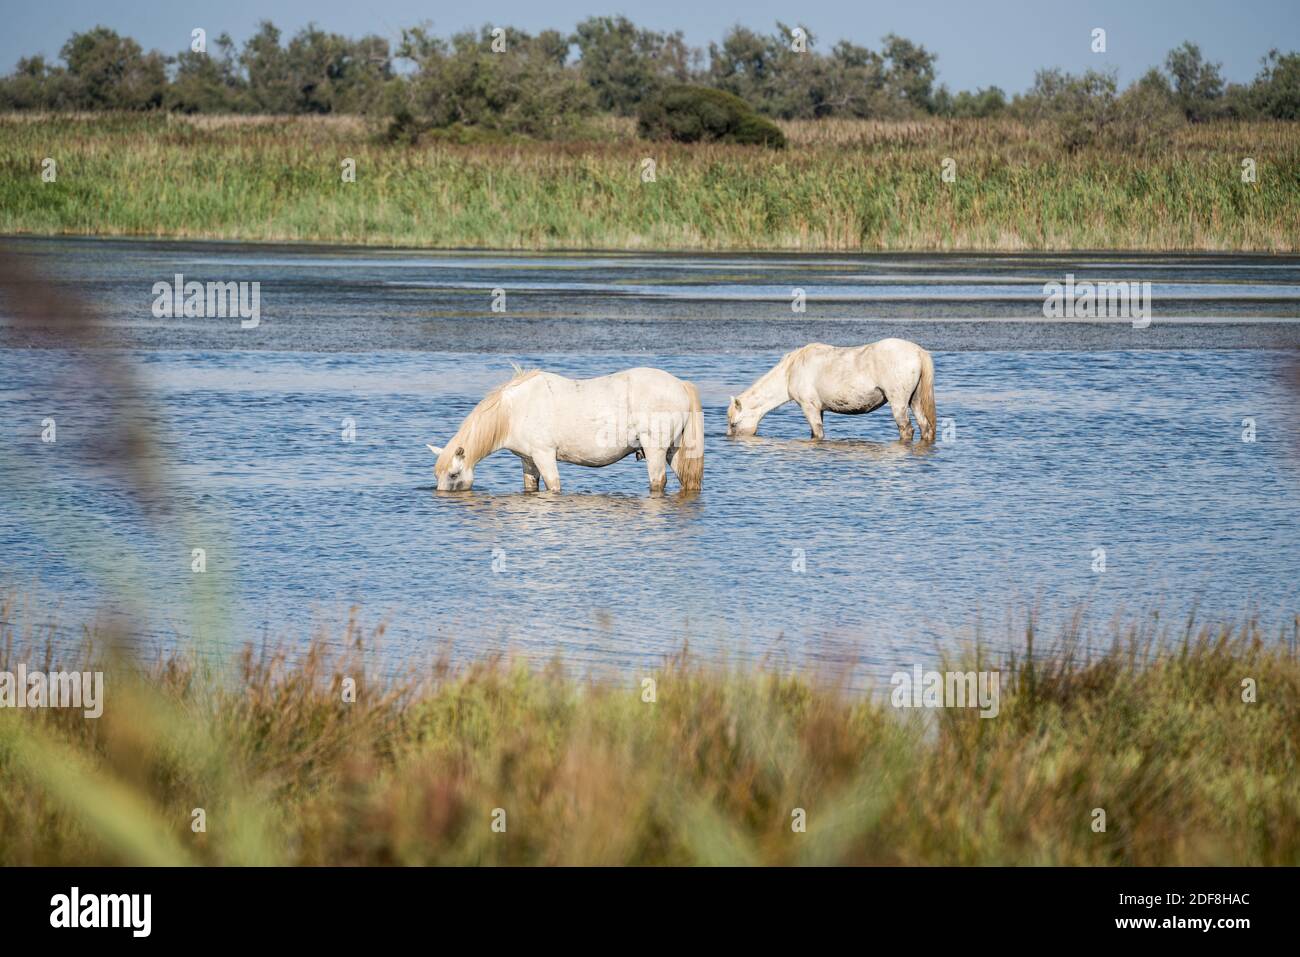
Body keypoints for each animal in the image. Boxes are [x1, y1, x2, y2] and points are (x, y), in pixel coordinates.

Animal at [427, 367, 704, 493]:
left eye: (453, 474)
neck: (515, 409)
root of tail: (680, 384)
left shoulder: (544, 455)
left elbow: (554, 485)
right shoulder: (528, 460)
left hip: (655, 451)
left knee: (658, 482)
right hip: (674, 451)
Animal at [727, 338, 936, 442]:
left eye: (734, 424)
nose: (728, 438)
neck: (791, 371)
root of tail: (919, 352)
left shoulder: (809, 407)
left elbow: (817, 432)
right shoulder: (819, 409)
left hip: (898, 401)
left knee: (906, 429)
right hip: (915, 400)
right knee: (925, 427)